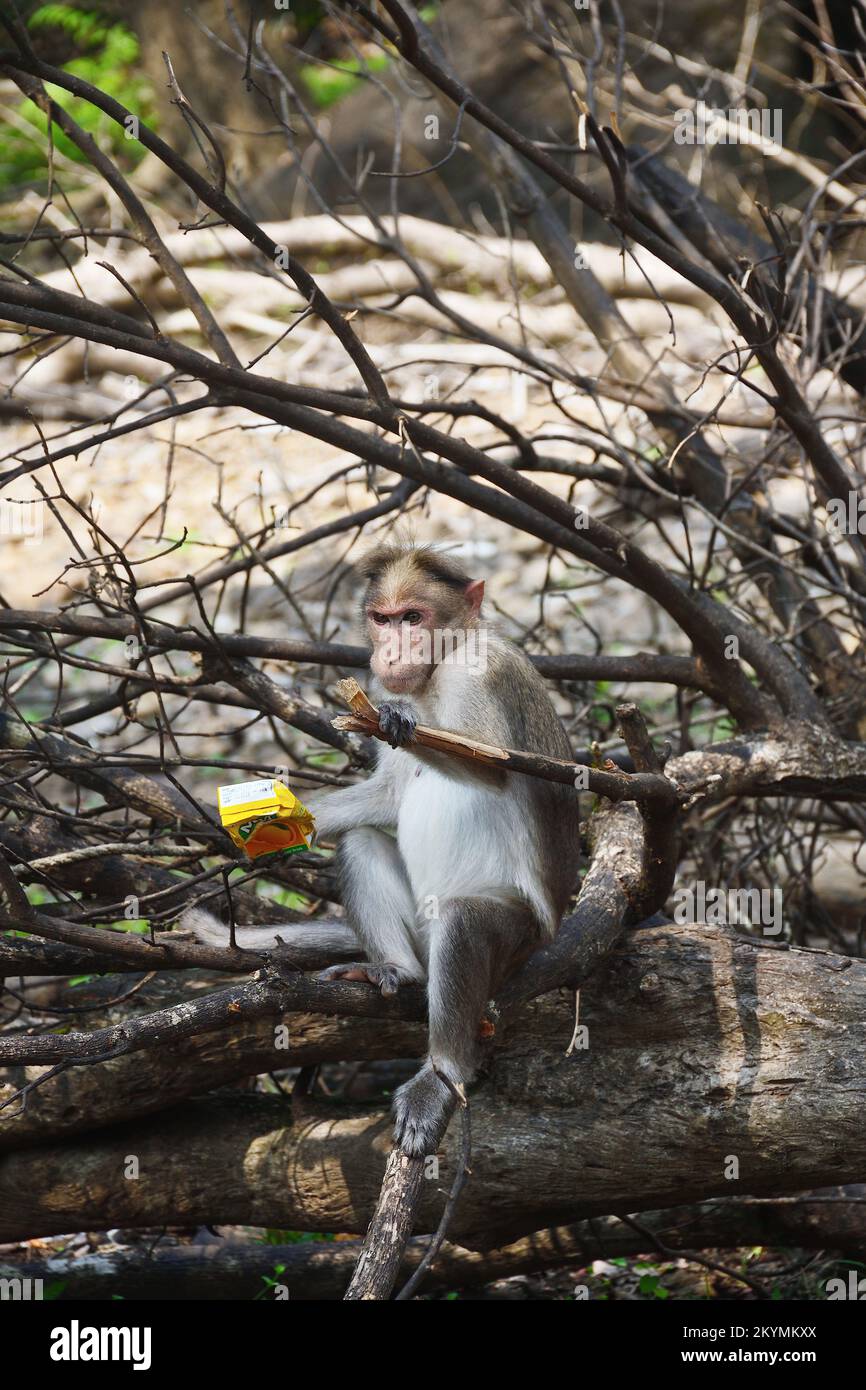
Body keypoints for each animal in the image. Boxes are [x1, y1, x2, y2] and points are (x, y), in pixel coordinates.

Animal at [184, 543, 581, 1156]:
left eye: (414, 618)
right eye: (383, 618)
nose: (392, 650)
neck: (441, 668)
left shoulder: (480, 673)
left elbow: (491, 766)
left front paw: (401, 723)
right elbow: (389, 802)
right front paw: (270, 826)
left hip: (518, 940)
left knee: (464, 920)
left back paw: (443, 1074)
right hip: (417, 931)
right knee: (363, 843)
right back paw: (398, 971)